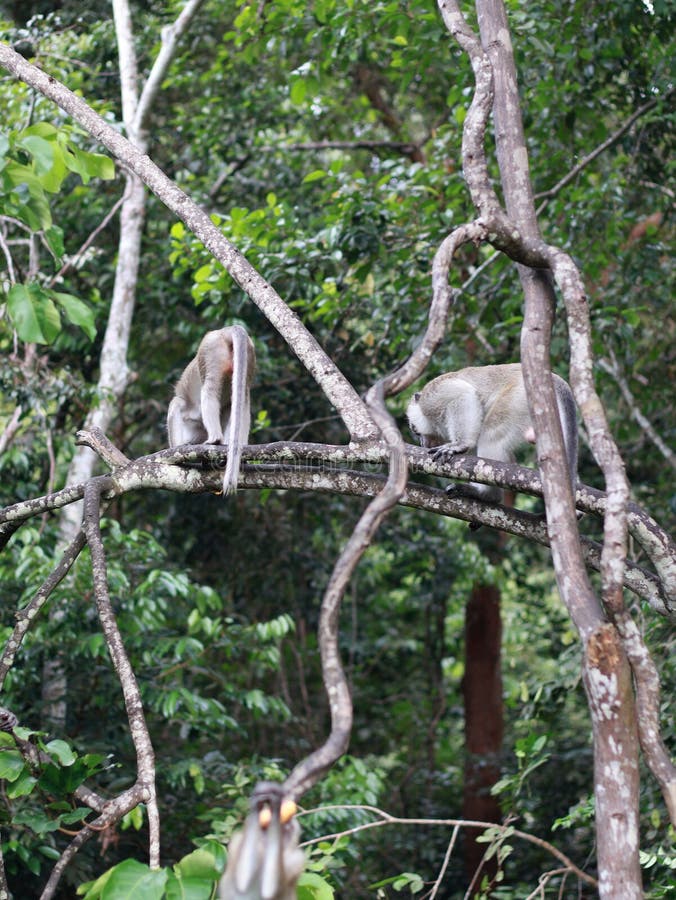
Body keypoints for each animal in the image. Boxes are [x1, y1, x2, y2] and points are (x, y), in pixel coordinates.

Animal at [167, 325, 256, 495]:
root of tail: (227, 330)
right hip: (248, 355)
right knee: (242, 400)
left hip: (211, 350)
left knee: (204, 391)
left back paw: (214, 439)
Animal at [406, 363, 578, 504]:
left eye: (416, 431)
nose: (422, 442)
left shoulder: (432, 398)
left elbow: (462, 394)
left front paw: (459, 444)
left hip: (520, 398)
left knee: (490, 434)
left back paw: (488, 495)